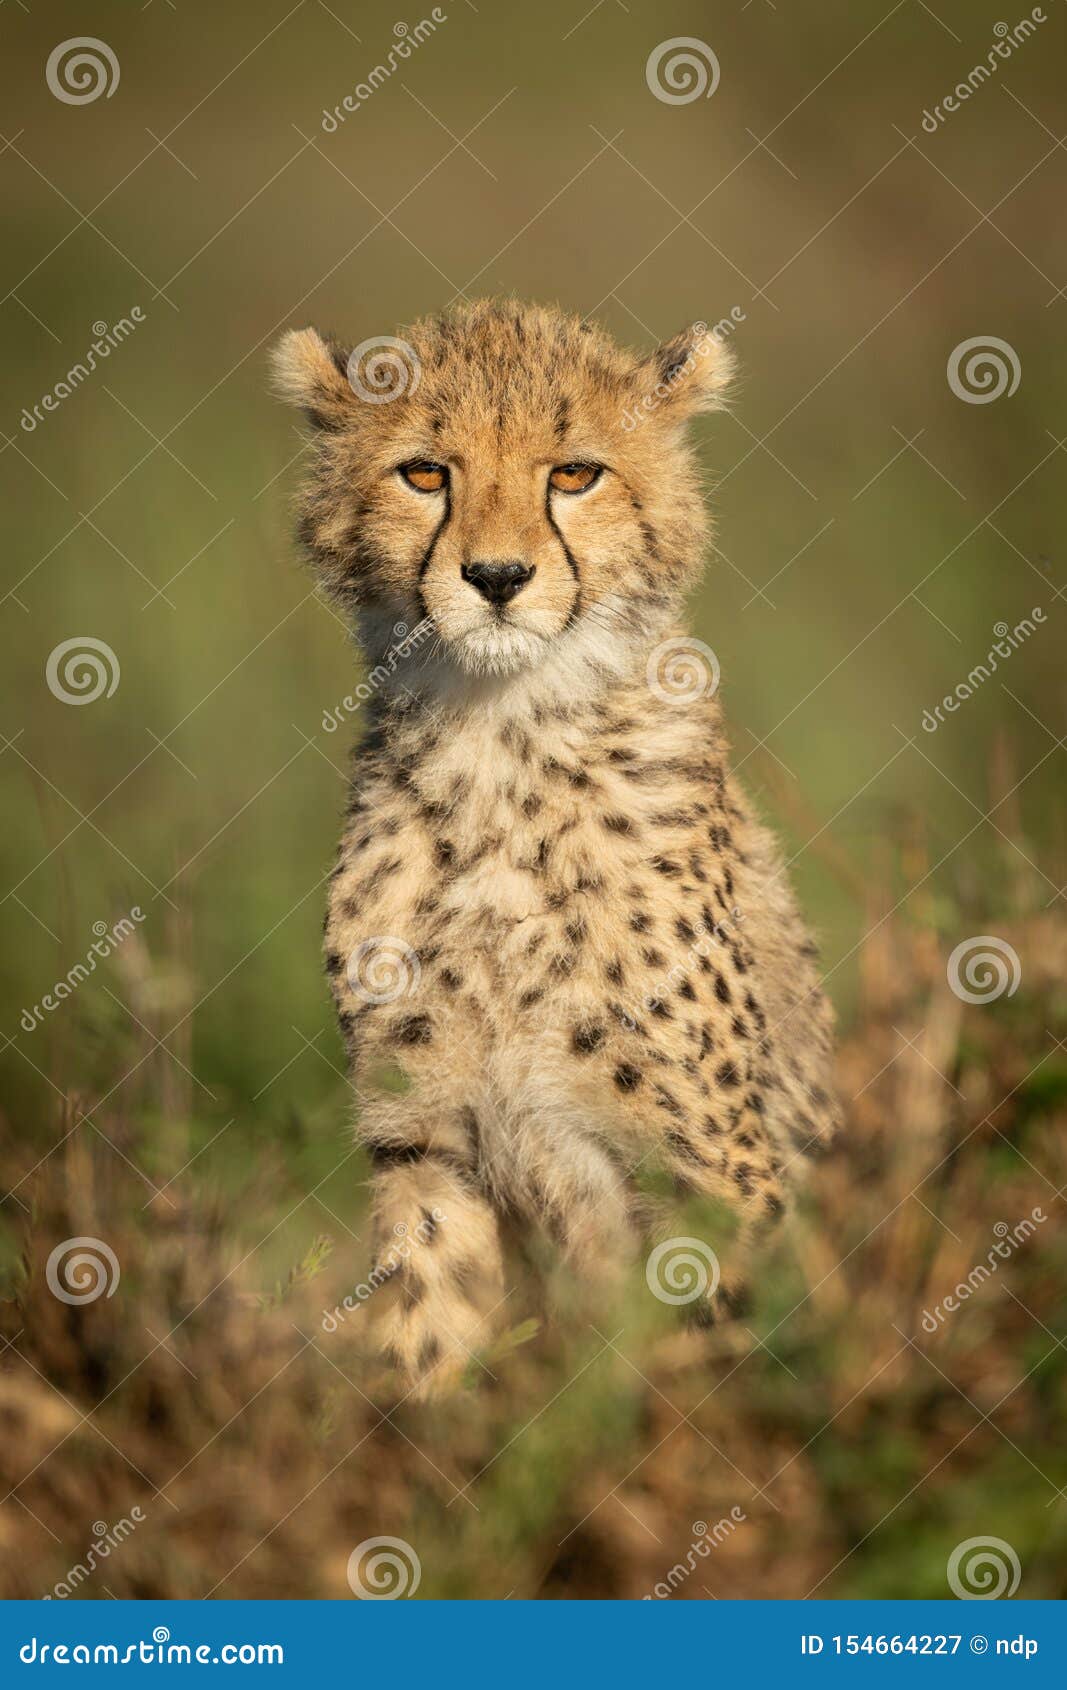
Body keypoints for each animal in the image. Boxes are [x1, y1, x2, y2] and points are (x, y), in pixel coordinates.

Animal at [271, 298, 840, 1396]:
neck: (502, 742)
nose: (496, 576)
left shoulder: (715, 1167)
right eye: (424, 473)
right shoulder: (423, 1137)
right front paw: (433, 1422)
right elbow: (430, 1321)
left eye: (573, 474)